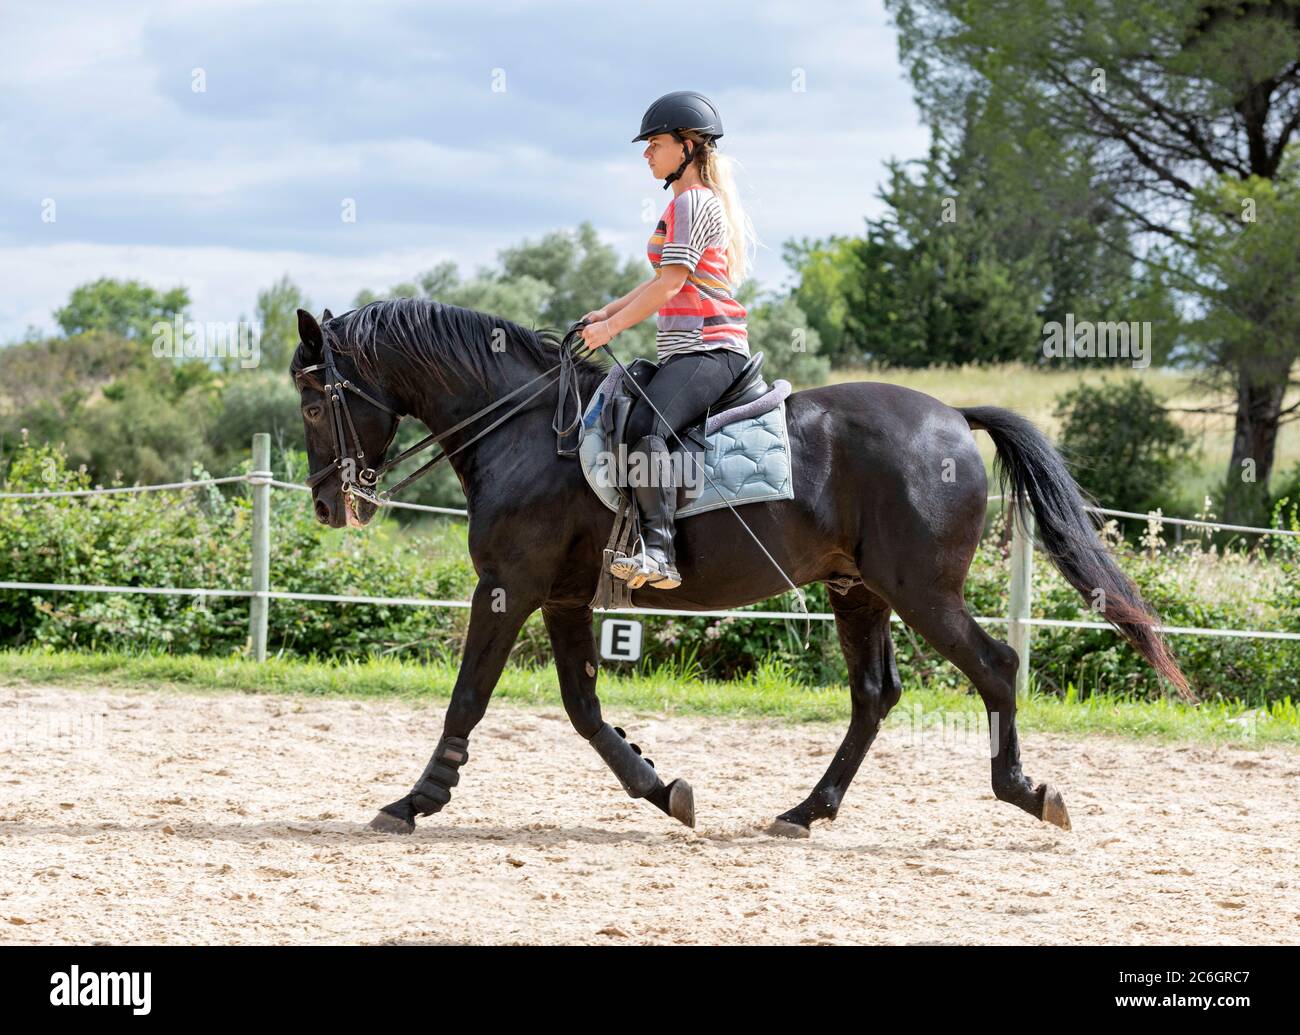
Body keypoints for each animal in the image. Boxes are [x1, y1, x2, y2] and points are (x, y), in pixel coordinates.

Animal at [290, 298, 1191, 838]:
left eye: (311, 399)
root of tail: (949, 417)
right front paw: (660, 786)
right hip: (858, 590)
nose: (332, 505)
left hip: (921, 592)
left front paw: (414, 800)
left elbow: (470, 696)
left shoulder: (509, 587)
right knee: (874, 695)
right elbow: (583, 707)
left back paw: (1027, 791)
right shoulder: (567, 596)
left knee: (996, 666)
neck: (524, 429)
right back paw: (807, 810)